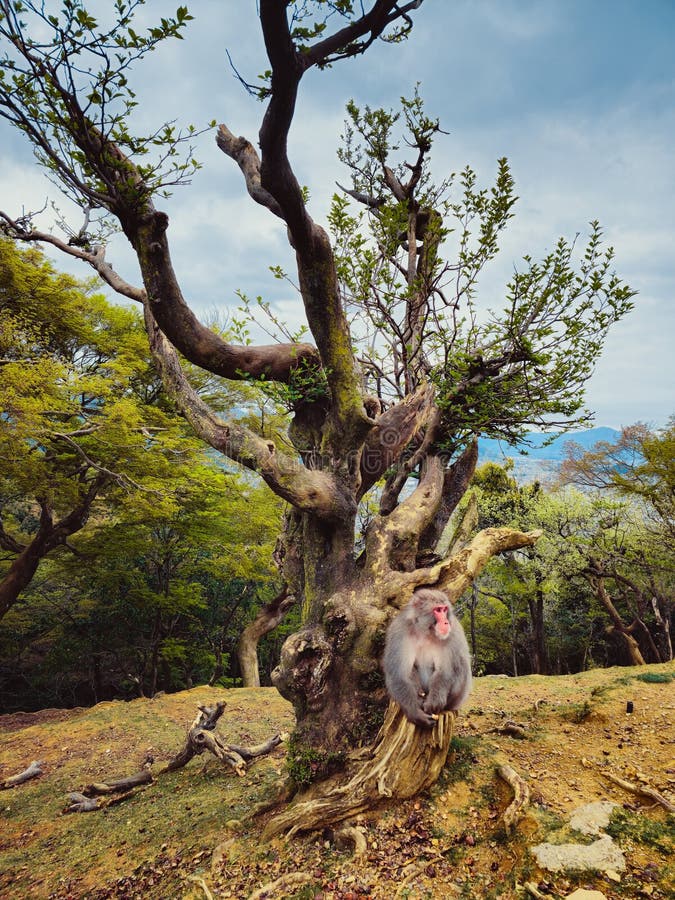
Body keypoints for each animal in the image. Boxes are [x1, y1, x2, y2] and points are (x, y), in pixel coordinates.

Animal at [382, 588, 472, 727]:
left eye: (444, 609)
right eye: (438, 610)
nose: (445, 622)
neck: (425, 631)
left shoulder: (452, 633)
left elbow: (445, 671)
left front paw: (434, 703)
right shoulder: (398, 631)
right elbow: (400, 674)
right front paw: (414, 711)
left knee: (460, 663)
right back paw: (419, 700)